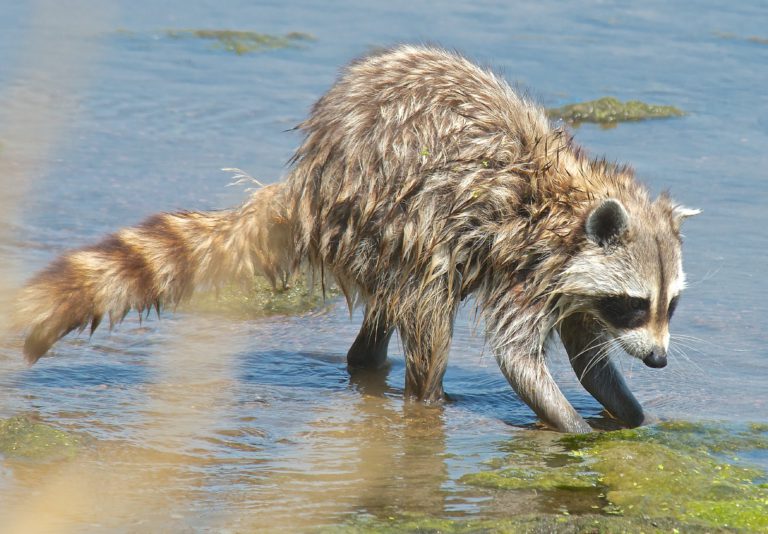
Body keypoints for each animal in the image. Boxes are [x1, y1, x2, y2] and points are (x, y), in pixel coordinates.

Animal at [15, 45, 698, 433]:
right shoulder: (527, 258)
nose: (660, 361)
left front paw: (627, 411)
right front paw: (569, 425)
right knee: (429, 297)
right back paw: (426, 398)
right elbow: (516, 353)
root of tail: (312, 176)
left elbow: (587, 350)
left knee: (397, 309)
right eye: (635, 304)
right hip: (389, 217)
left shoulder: (568, 277)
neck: (572, 200)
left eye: (670, 305)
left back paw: (370, 363)